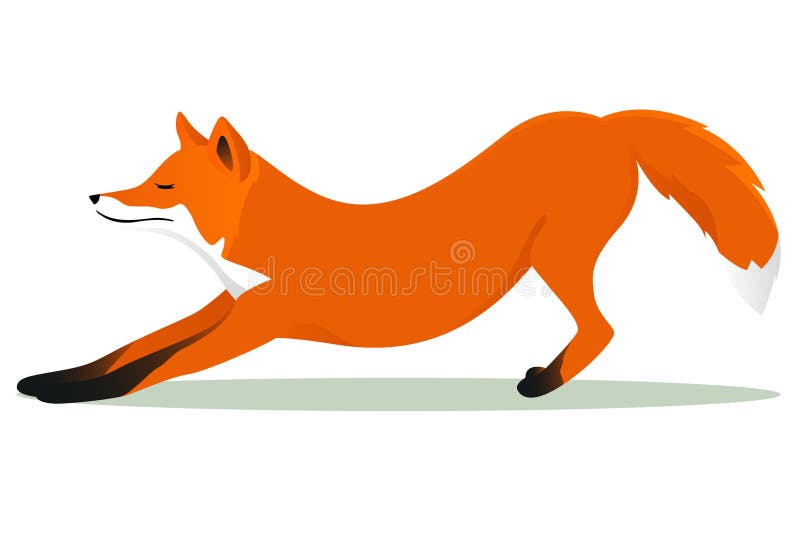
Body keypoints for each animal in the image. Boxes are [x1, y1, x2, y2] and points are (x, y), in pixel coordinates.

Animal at [18, 110, 780, 404]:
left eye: (164, 186)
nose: (93, 195)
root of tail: (600, 120)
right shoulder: (228, 307)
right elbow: (128, 348)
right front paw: (53, 380)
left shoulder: (256, 322)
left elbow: (151, 369)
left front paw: (82, 396)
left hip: (558, 260)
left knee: (604, 327)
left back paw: (545, 381)